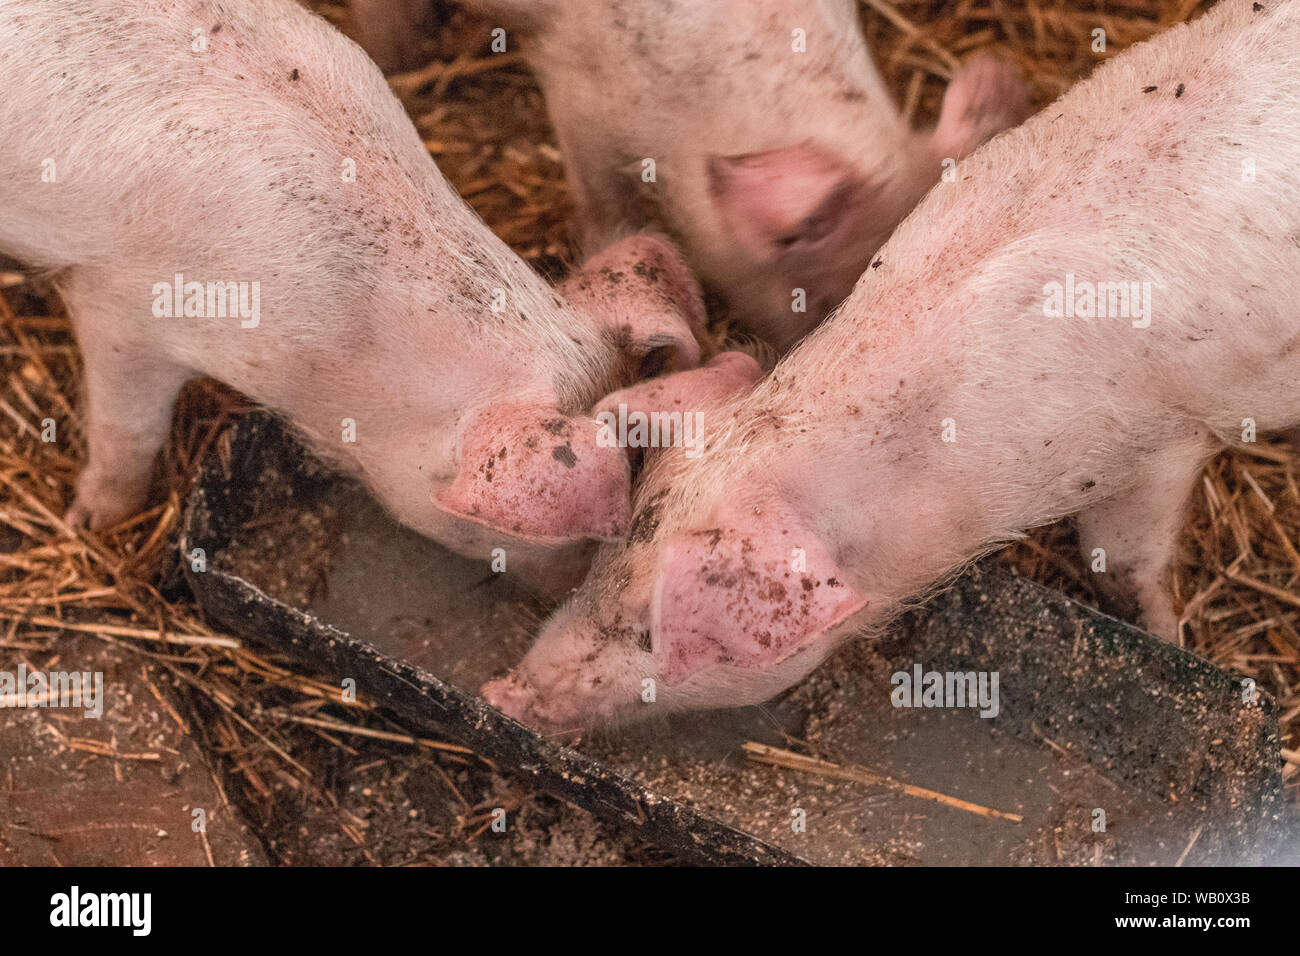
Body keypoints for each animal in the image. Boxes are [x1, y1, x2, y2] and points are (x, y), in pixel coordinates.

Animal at [484, 0, 1300, 728]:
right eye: (609, 557)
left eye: (649, 632)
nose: (502, 693)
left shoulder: (1170, 439)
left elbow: (1126, 563)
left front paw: (1169, 637)